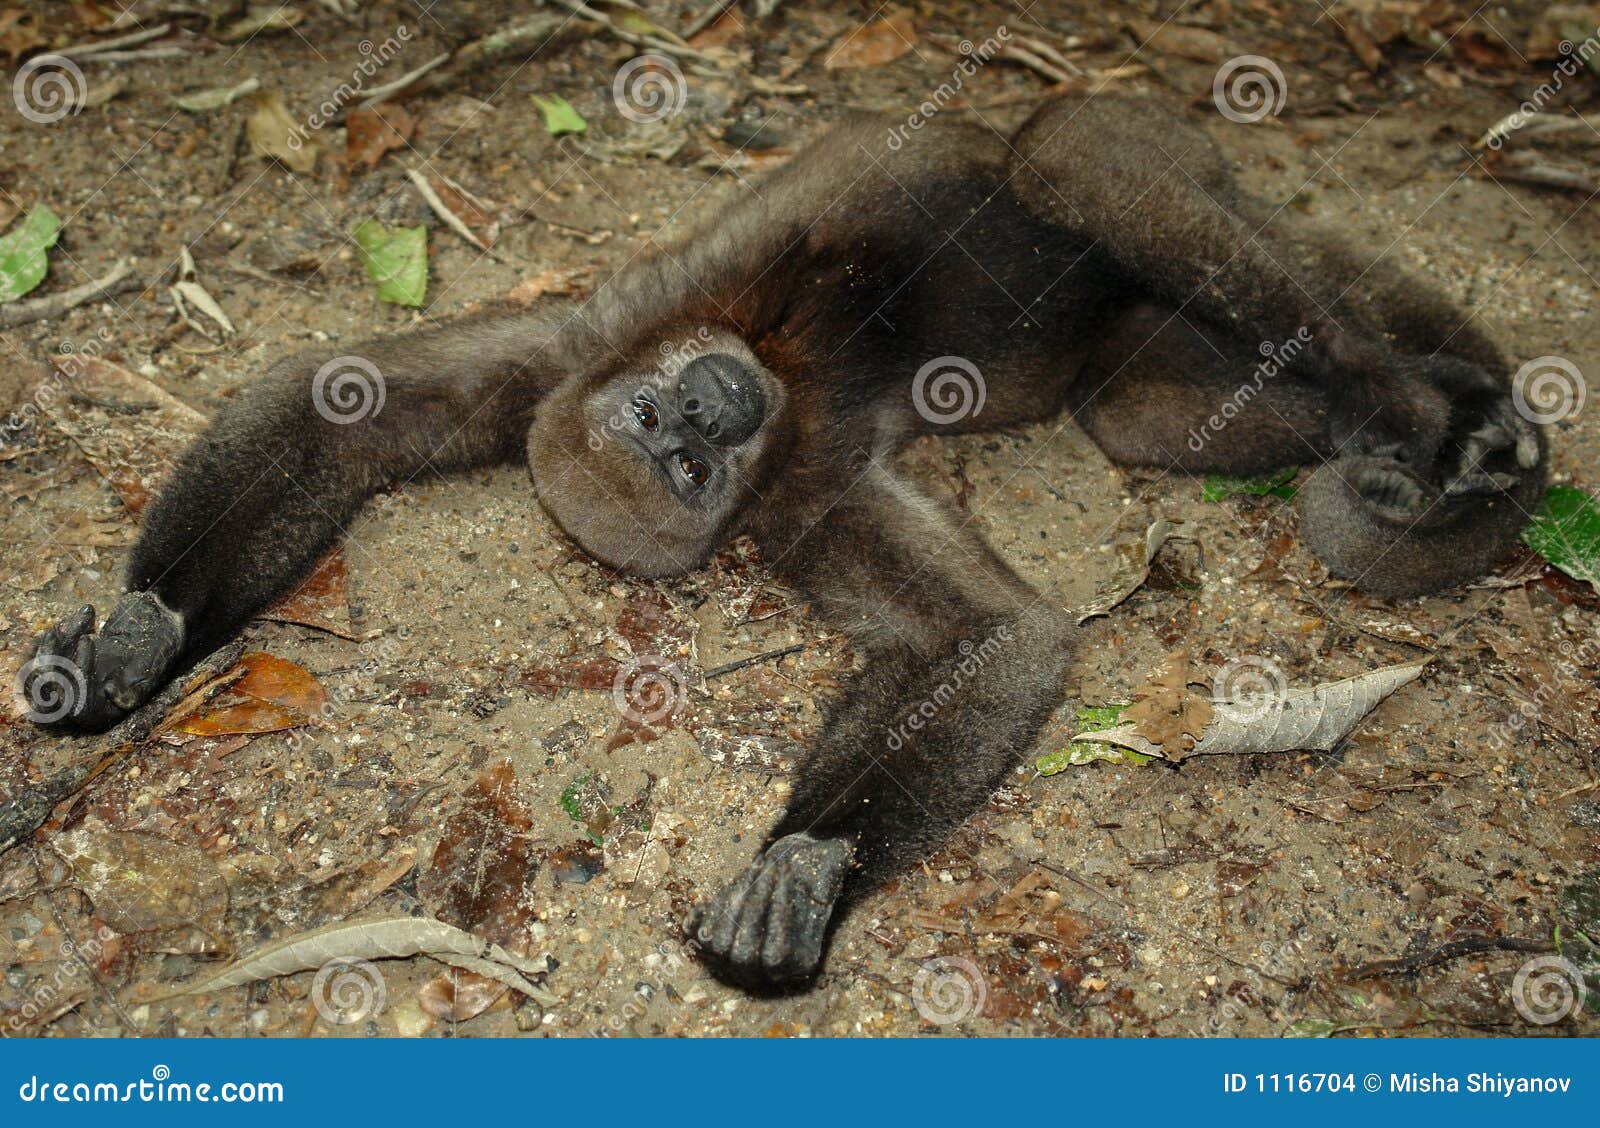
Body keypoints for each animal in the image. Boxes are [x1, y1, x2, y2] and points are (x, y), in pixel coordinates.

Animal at [24, 95, 1544, 991]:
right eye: (686, 465)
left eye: (668, 424)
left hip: (1179, 156)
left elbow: (331, 400)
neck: (776, 379)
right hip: (1157, 375)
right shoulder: (793, 505)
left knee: (1076, 159)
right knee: (1139, 403)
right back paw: (1411, 420)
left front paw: (135, 631)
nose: (709, 405)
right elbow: (989, 636)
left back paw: (1433, 409)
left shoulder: (589, 341)